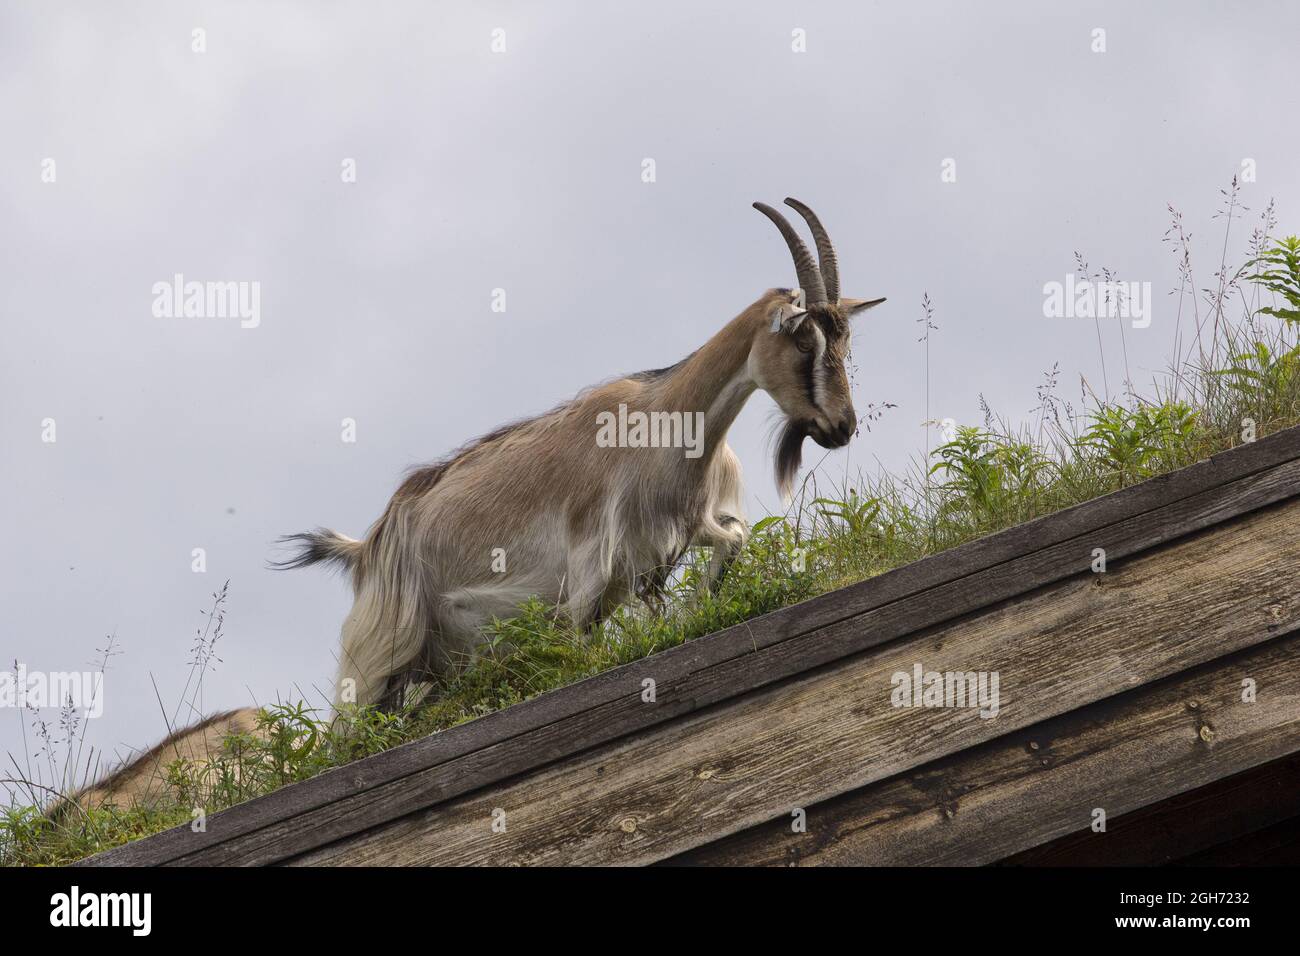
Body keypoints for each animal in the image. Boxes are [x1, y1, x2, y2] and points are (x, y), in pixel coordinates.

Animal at [278, 198, 885, 712]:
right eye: (804, 341)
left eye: (844, 341)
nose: (842, 427)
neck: (667, 419)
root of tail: (369, 545)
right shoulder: (590, 570)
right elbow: (582, 649)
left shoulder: (673, 537)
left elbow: (732, 539)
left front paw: (696, 610)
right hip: (382, 651)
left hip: (433, 666)